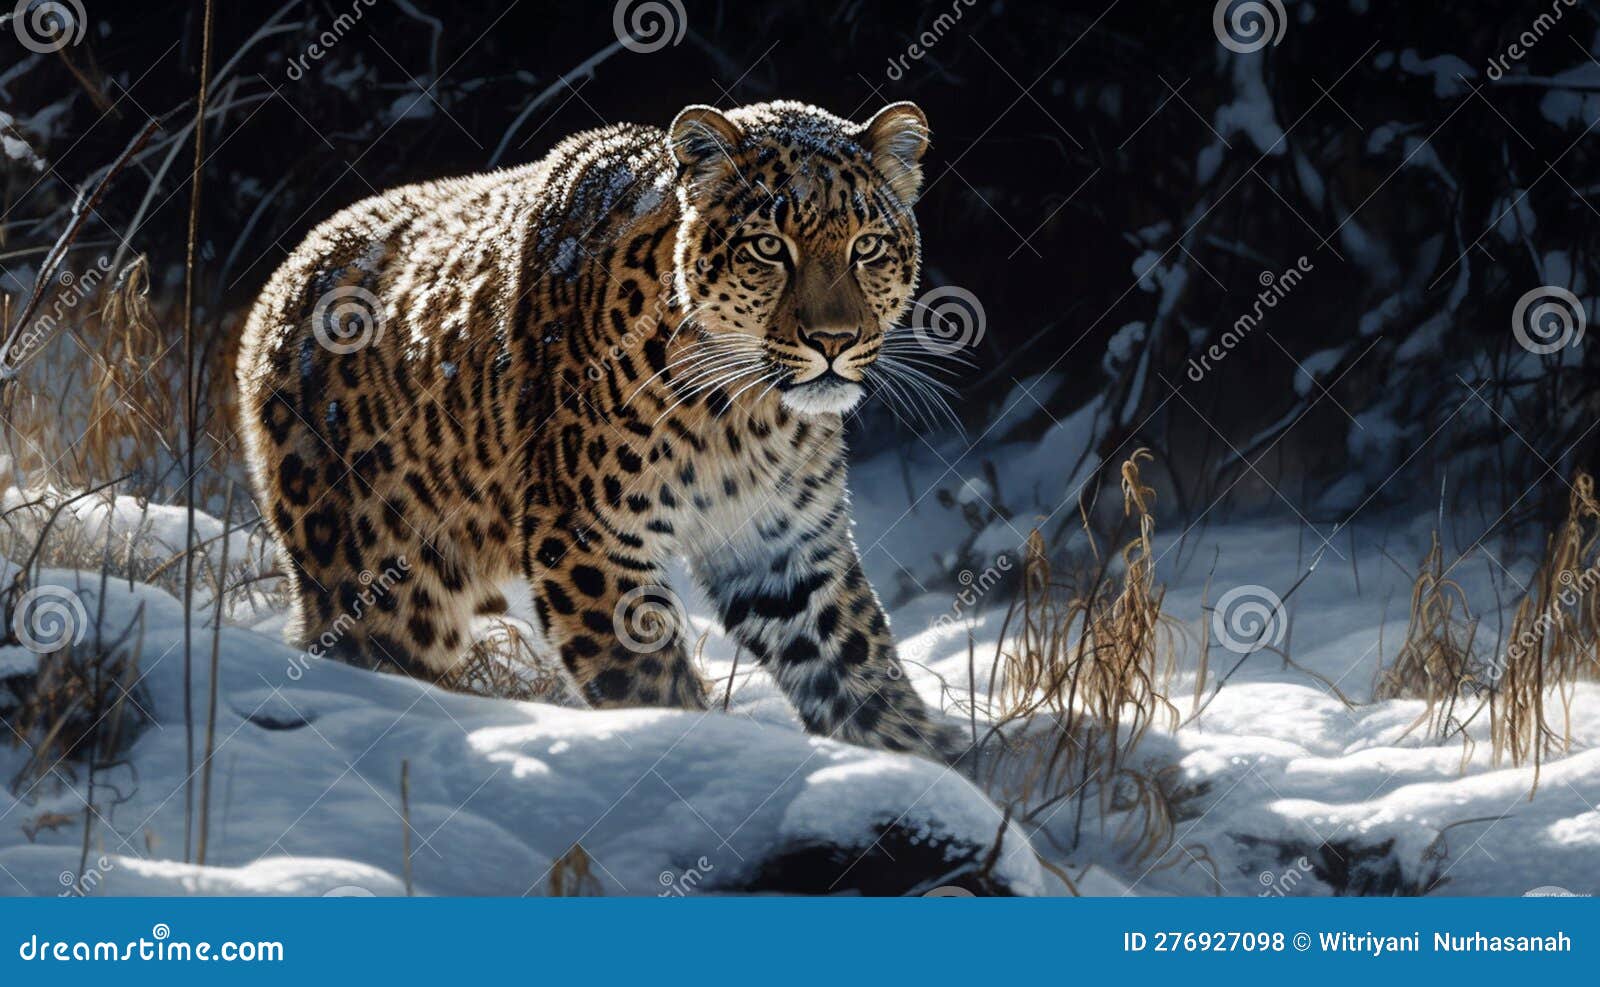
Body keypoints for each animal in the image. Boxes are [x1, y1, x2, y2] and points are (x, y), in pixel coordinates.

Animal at [236, 99, 965, 763]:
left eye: (866, 246)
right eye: (769, 247)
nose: (834, 341)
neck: (744, 414)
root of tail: (285, 278)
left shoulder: (783, 550)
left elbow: (860, 673)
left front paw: (940, 772)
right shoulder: (591, 541)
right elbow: (649, 686)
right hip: (378, 581)